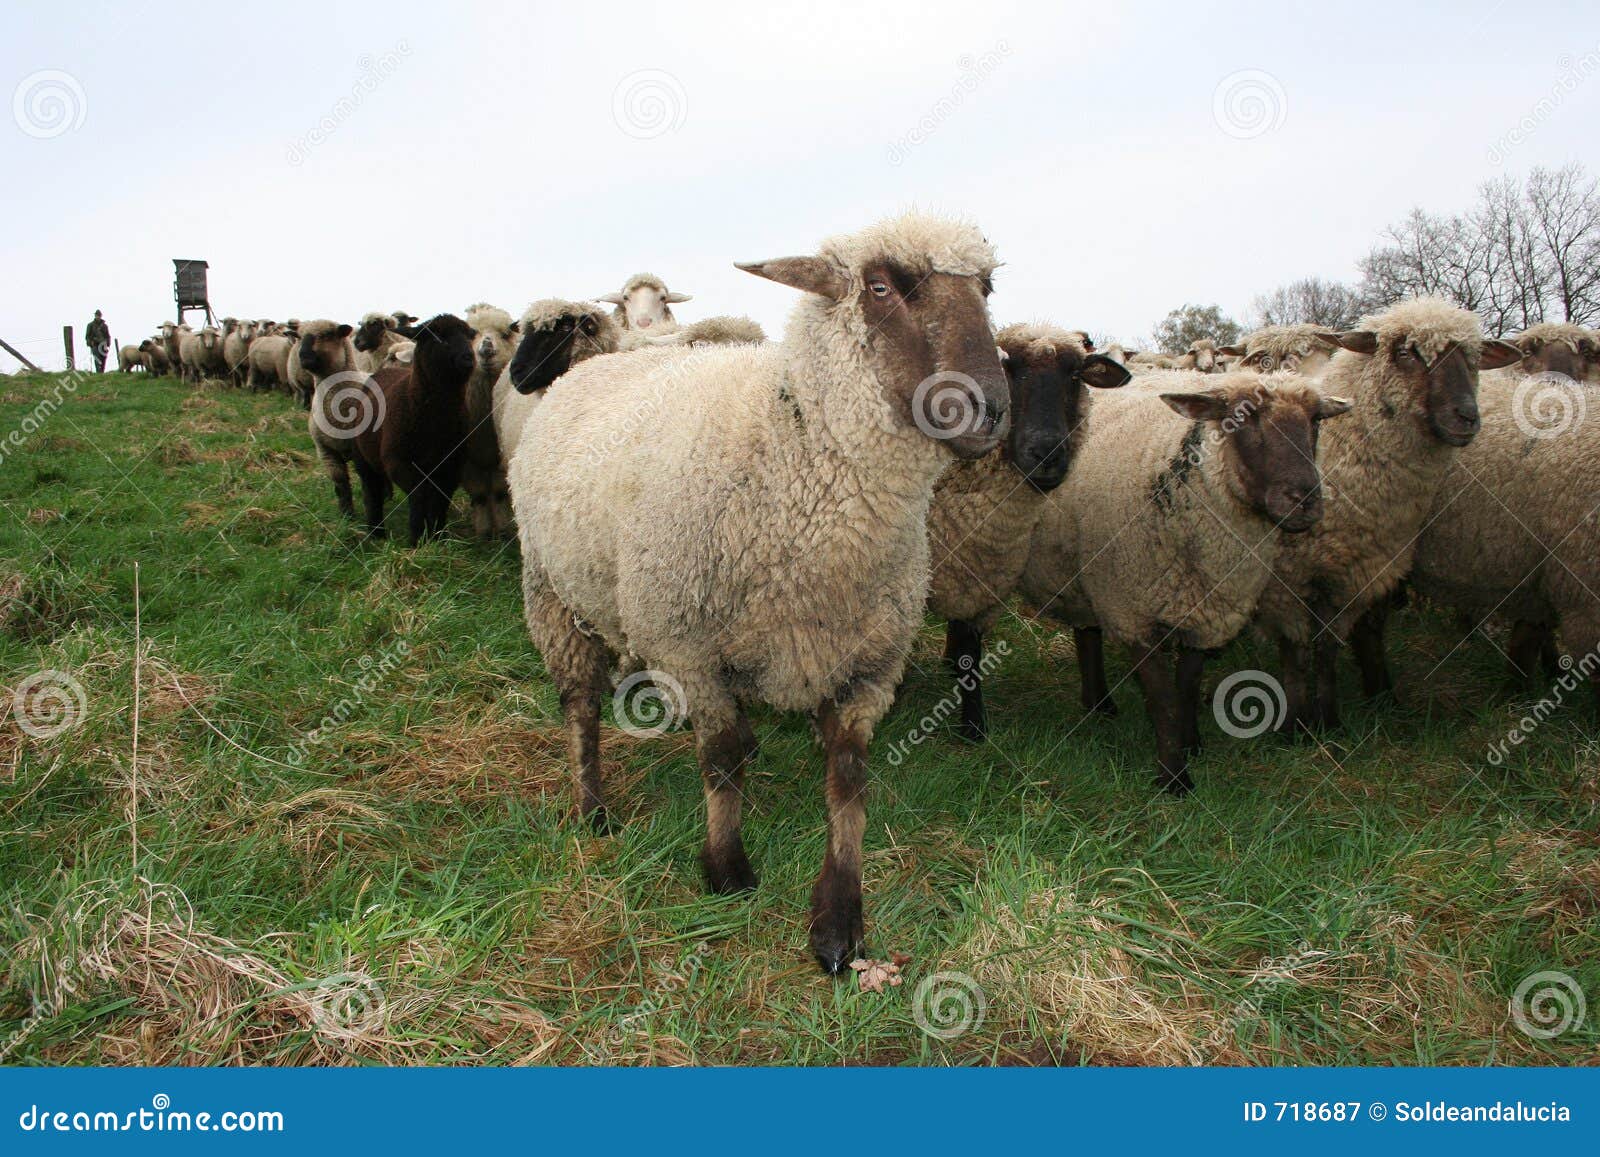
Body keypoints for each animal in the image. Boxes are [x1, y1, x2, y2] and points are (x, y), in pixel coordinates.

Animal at [459, 303, 520, 539]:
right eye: (471, 334)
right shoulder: (468, 461)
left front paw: (502, 528)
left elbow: (499, 491)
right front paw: (483, 530)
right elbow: (479, 495)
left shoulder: (499, 458)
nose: (486, 350)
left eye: (505, 334)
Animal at [510, 213, 1008, 973]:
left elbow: (847, 781)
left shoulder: (869, 665)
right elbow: (719, 760)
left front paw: (838, 923)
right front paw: (726, 869)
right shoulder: (689, 649)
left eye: (985, 287)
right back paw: (591, 807)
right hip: (553, 594)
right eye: (880, 286)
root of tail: (592, 365)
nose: (992, 408)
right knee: (580, 706)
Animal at [927, 322, 1131, 740]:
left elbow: (969, 647)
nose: (1047, 454)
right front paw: (973, 729)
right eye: (1009, 371)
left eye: (1075, 376)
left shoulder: (979, 568)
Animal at [1021, 374, 1351, 792]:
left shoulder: (1205, 612)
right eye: (1243, 417)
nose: (1305, 500)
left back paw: (1099, 703)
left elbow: (1188, 685)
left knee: (1087, 629)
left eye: (1316, 420)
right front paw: (1174, 778)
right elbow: (1162, 699)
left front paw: (1191, 743)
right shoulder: (1135, 614)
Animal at [1250, 298, 1521, 733]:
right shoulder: (1287, 576)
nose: (1467, 416)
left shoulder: (1360, 570)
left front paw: (1339, 715)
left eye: (1473, 359)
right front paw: (1295, 723)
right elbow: (1297, 651)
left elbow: (1333, 646)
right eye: (1406, 353)